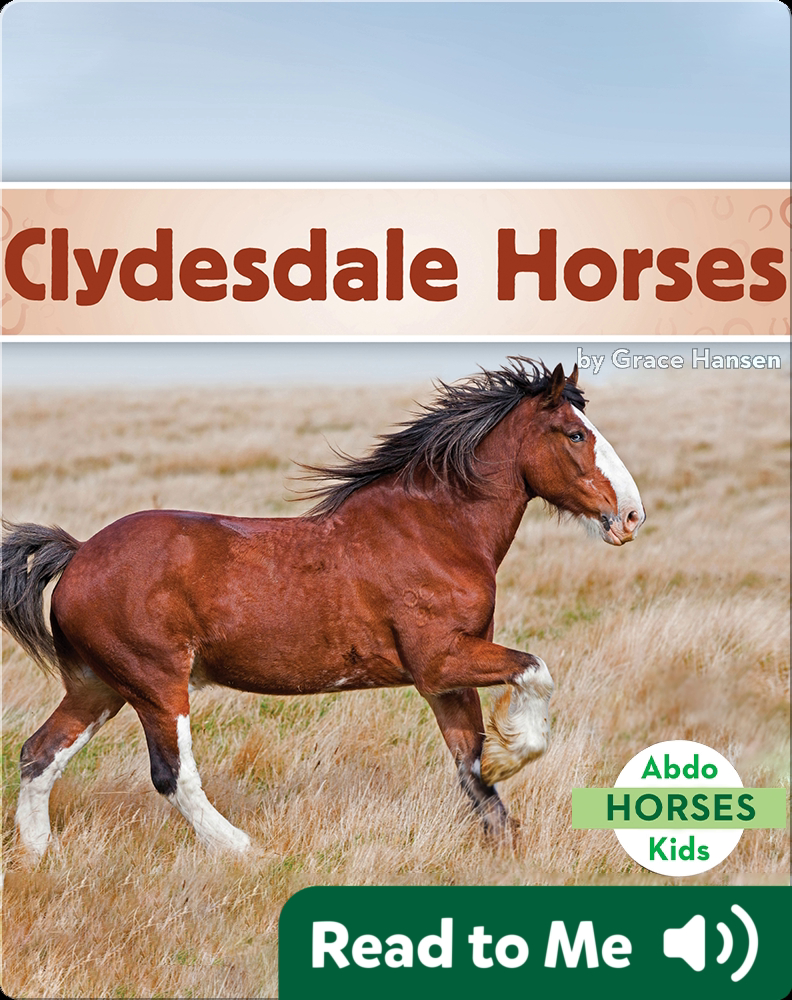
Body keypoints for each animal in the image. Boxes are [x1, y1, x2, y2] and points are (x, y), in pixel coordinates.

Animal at [2, 358, 644, 857]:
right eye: (575, 434)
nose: (631, 516)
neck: (436, 530)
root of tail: (78, 554)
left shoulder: (446, 679)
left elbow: (470, 764)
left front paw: (505, 840)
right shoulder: (440, 661)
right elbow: (535, 672)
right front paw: (514, 755)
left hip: (98, 687)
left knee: (39, 754)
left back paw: (40, 857)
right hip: (157, 685)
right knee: (171, 775)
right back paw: (243, 849)